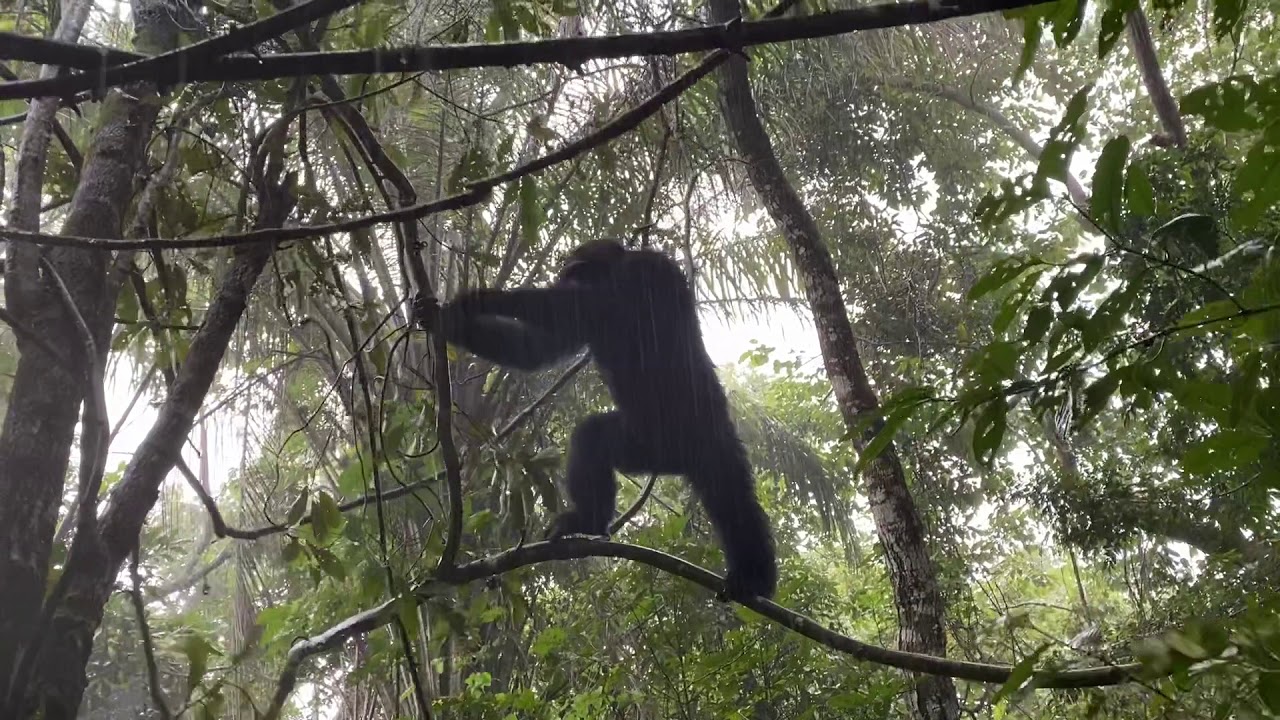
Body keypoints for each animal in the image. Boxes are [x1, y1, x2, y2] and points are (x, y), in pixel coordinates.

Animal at [438, 239, 778, 601]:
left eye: (573, 271)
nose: (563, 276)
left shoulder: (638, 277)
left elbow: (582, 304)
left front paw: (476, 298)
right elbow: (536, 349)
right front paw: (445, 321)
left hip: (693, 442)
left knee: (731, 501)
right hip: (649, 450)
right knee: (730, 503)